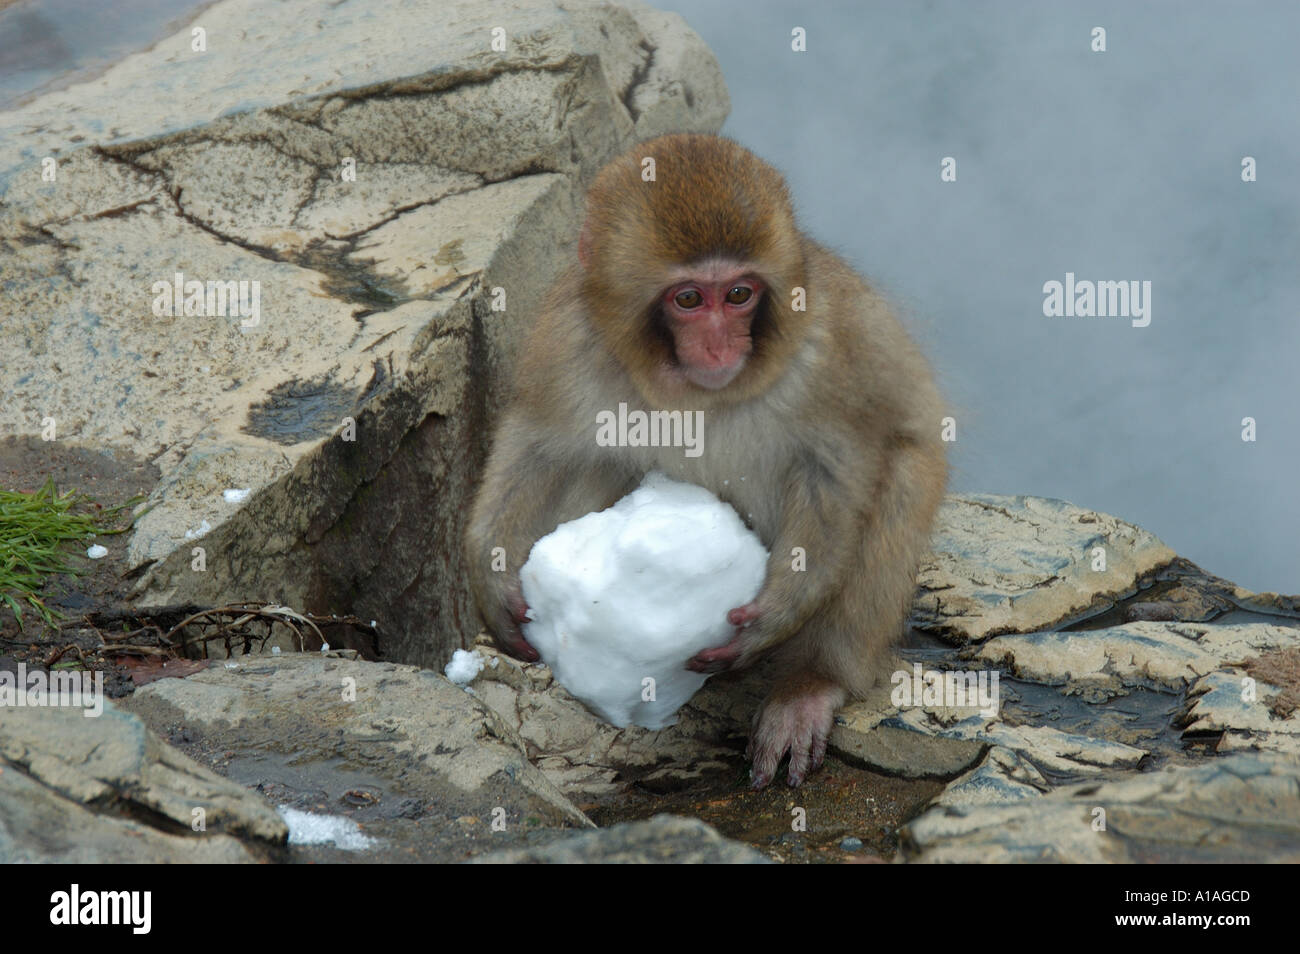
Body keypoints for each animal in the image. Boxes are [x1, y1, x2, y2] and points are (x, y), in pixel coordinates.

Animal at [466, 133, 947, 788]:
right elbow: (535, 443)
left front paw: (776, 615)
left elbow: (839, 467)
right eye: (689, 298)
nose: (720, 345)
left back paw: (810, 682)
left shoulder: (828, 347)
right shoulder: (568, 341)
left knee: (901, 481)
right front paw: (489, 572)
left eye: (739, 294)